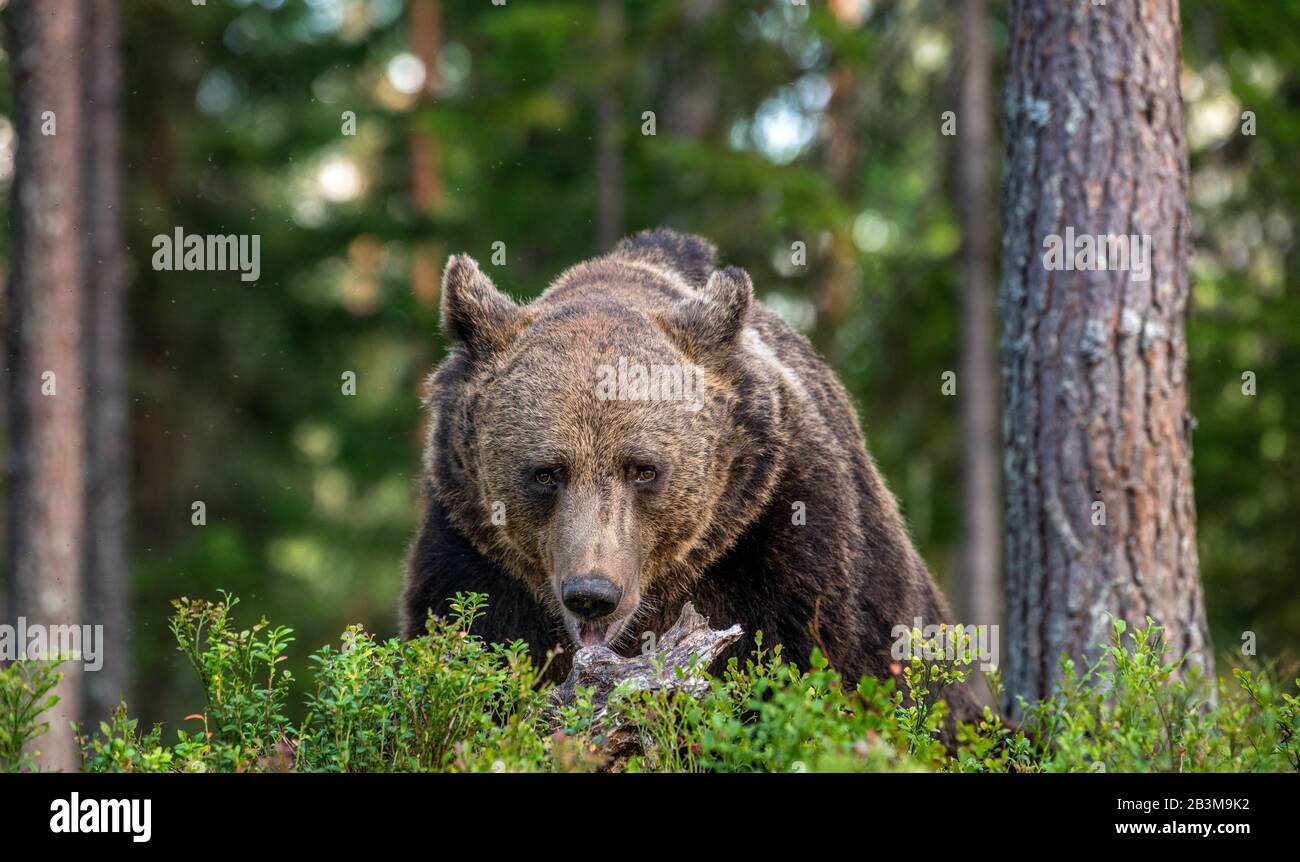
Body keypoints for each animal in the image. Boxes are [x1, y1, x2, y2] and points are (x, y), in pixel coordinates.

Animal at [402, 228, 980, 725]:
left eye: (643, 469)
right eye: (546, 473)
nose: (592, 592)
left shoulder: (787, 539)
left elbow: (815, 667)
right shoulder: (471, 552)